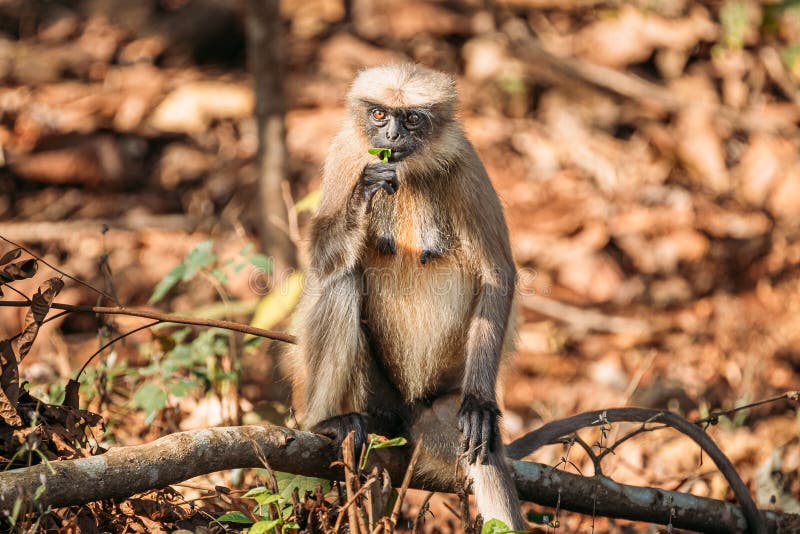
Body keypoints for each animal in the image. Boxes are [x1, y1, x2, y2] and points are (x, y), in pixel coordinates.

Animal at [288, 63, 525, 530]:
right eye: (380, 114)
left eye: (412, 119)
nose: (392, 136)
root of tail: (406, 412)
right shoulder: (346, 154)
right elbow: (322, 262)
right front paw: (364, 192)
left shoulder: (467, 164)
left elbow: (499, 273)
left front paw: (480, 404)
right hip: (372, 394)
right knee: (341, 282)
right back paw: (327, 423)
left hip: (436, 409)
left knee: (482, 451)